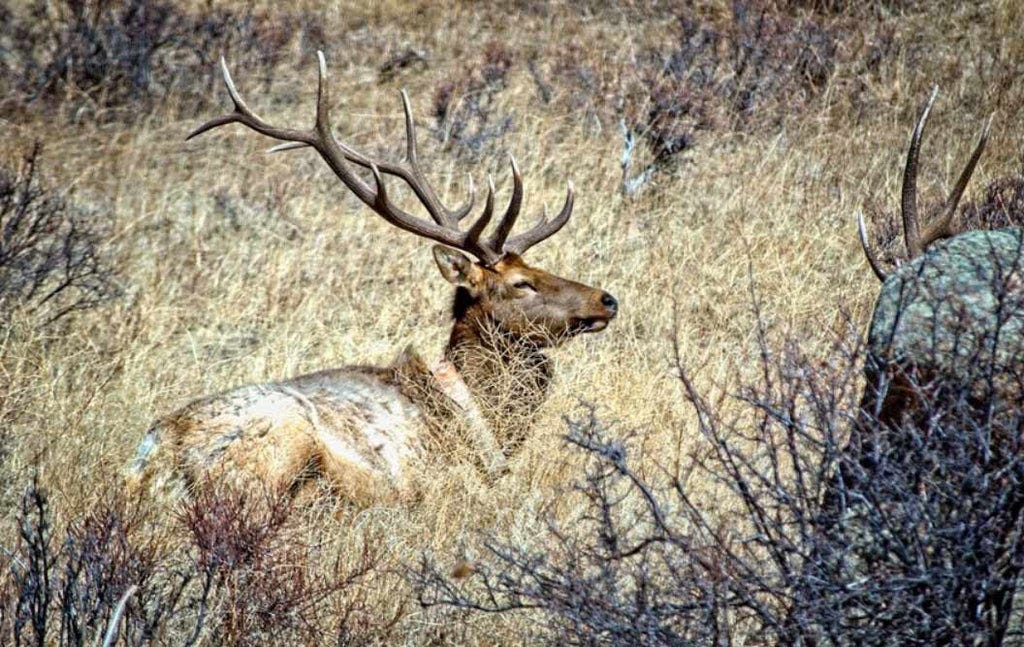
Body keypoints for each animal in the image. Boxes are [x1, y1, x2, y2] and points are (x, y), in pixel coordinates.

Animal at [126, 52, 618, 503]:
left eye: (539, 267)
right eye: (521, 284)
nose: (606, 299)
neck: (483, 419)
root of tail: (158, 457)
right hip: (278, 442)